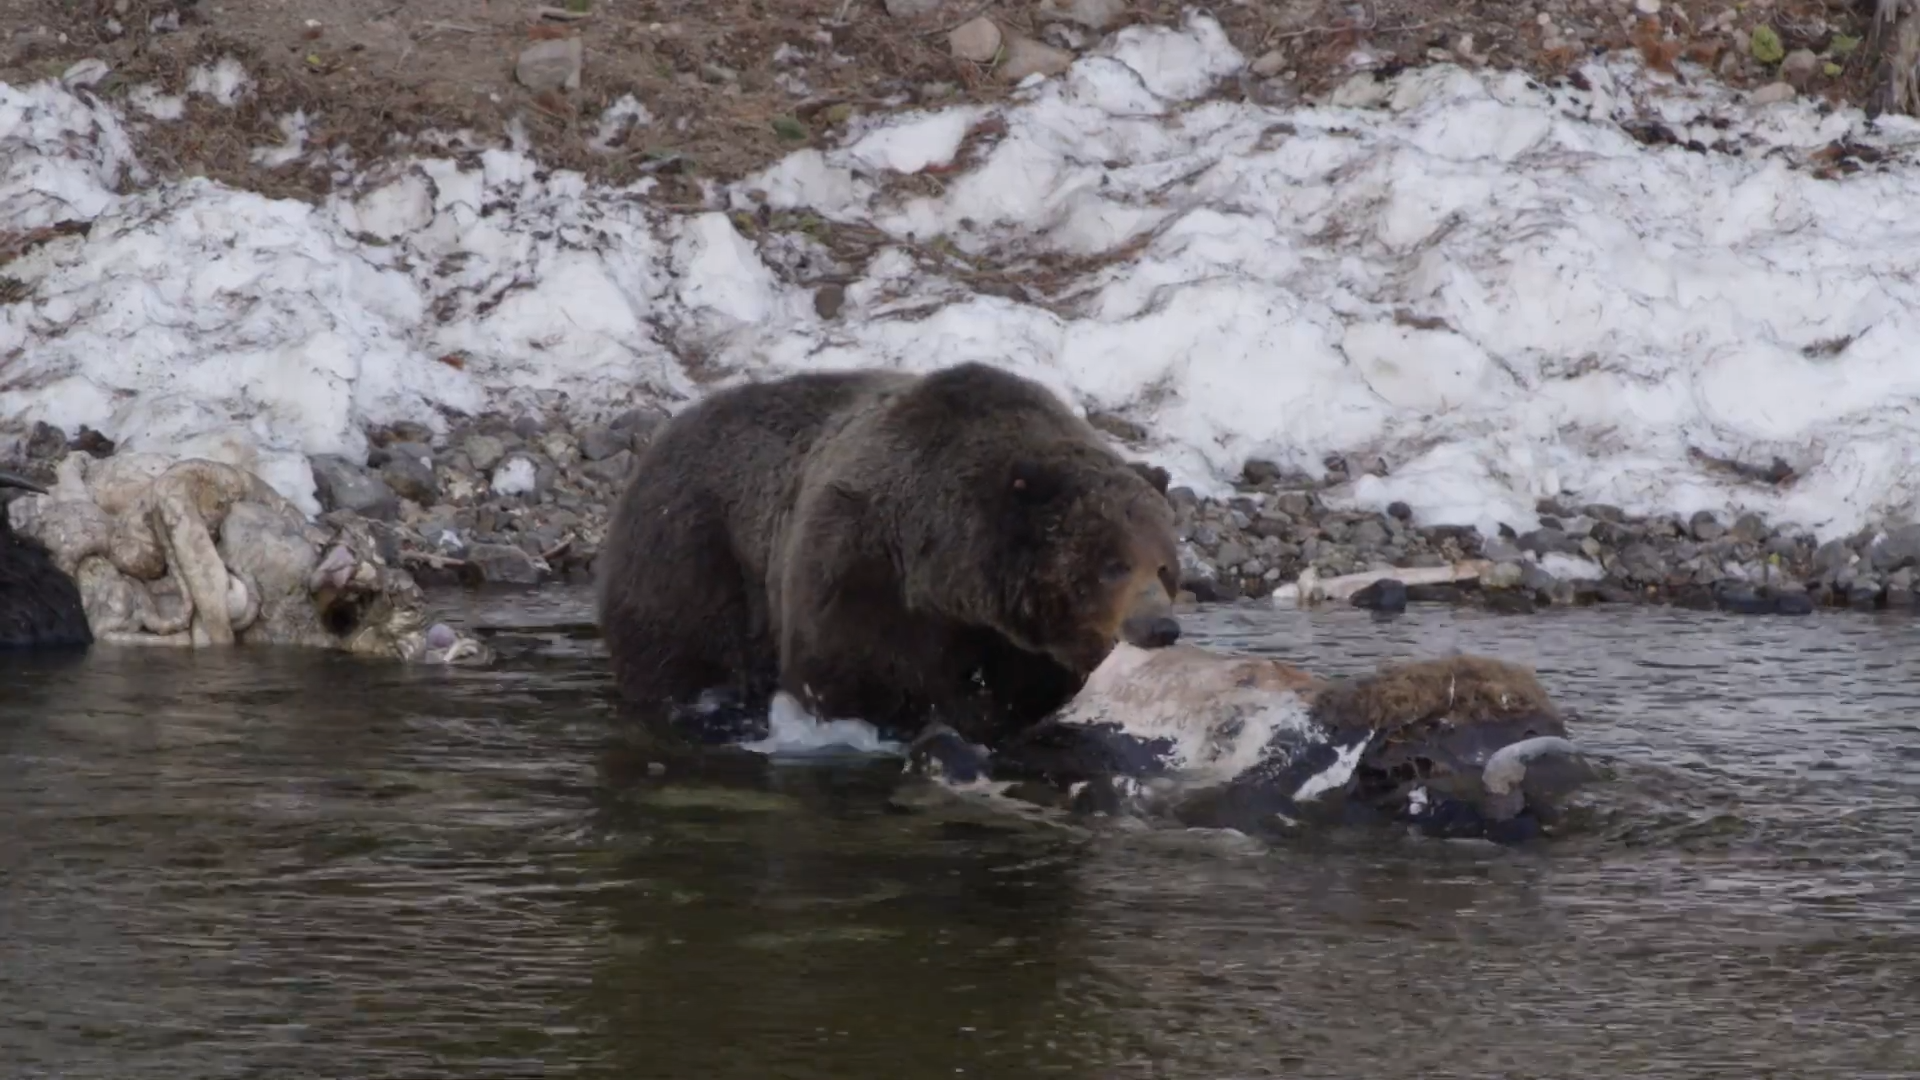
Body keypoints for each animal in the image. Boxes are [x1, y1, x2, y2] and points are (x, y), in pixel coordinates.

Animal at [594, 361, 1183, 750]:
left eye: (1165, 566)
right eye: (1113, 565)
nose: (1161, 627)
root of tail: (665, 433)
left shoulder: (1017, 644)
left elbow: (1017, 696)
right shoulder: (859, 573)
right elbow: (847, 680)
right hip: (696, 554)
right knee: (681, 653)